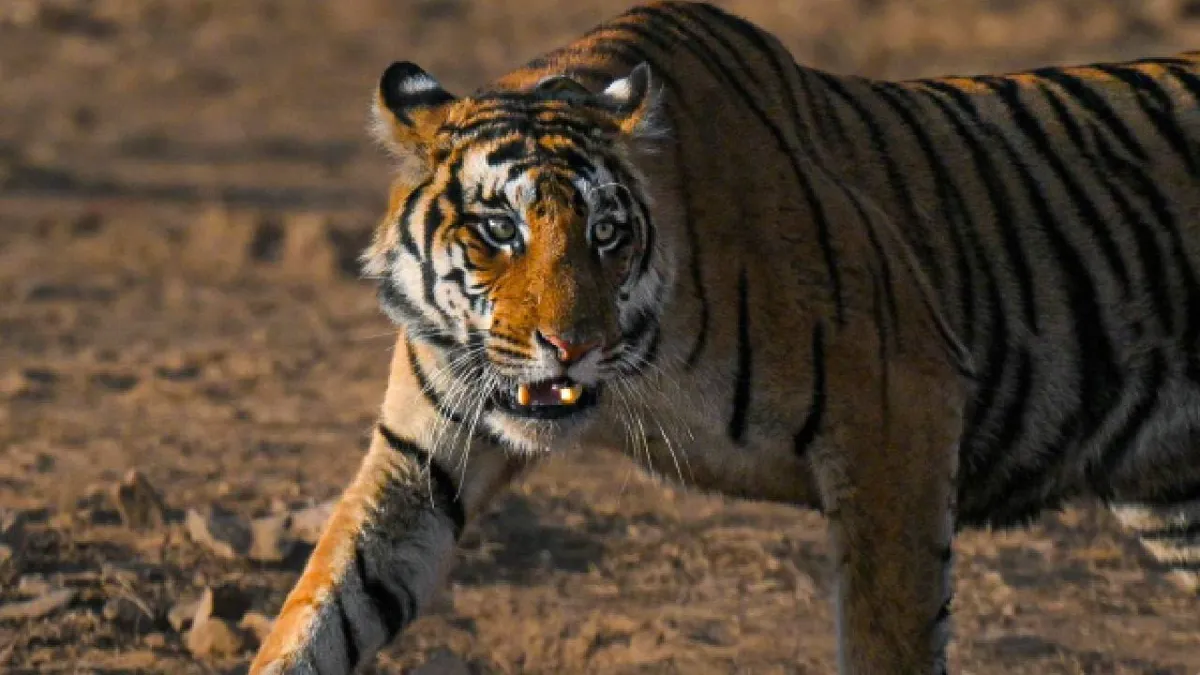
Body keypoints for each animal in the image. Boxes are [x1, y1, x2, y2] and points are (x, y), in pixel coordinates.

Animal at [249, 2, 1200, 673]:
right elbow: (323, 604)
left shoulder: (902, 409)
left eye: (606, 234)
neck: (636, 370)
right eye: (498, 231)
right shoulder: (421, 454)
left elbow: (888, 632)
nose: (569, 344)